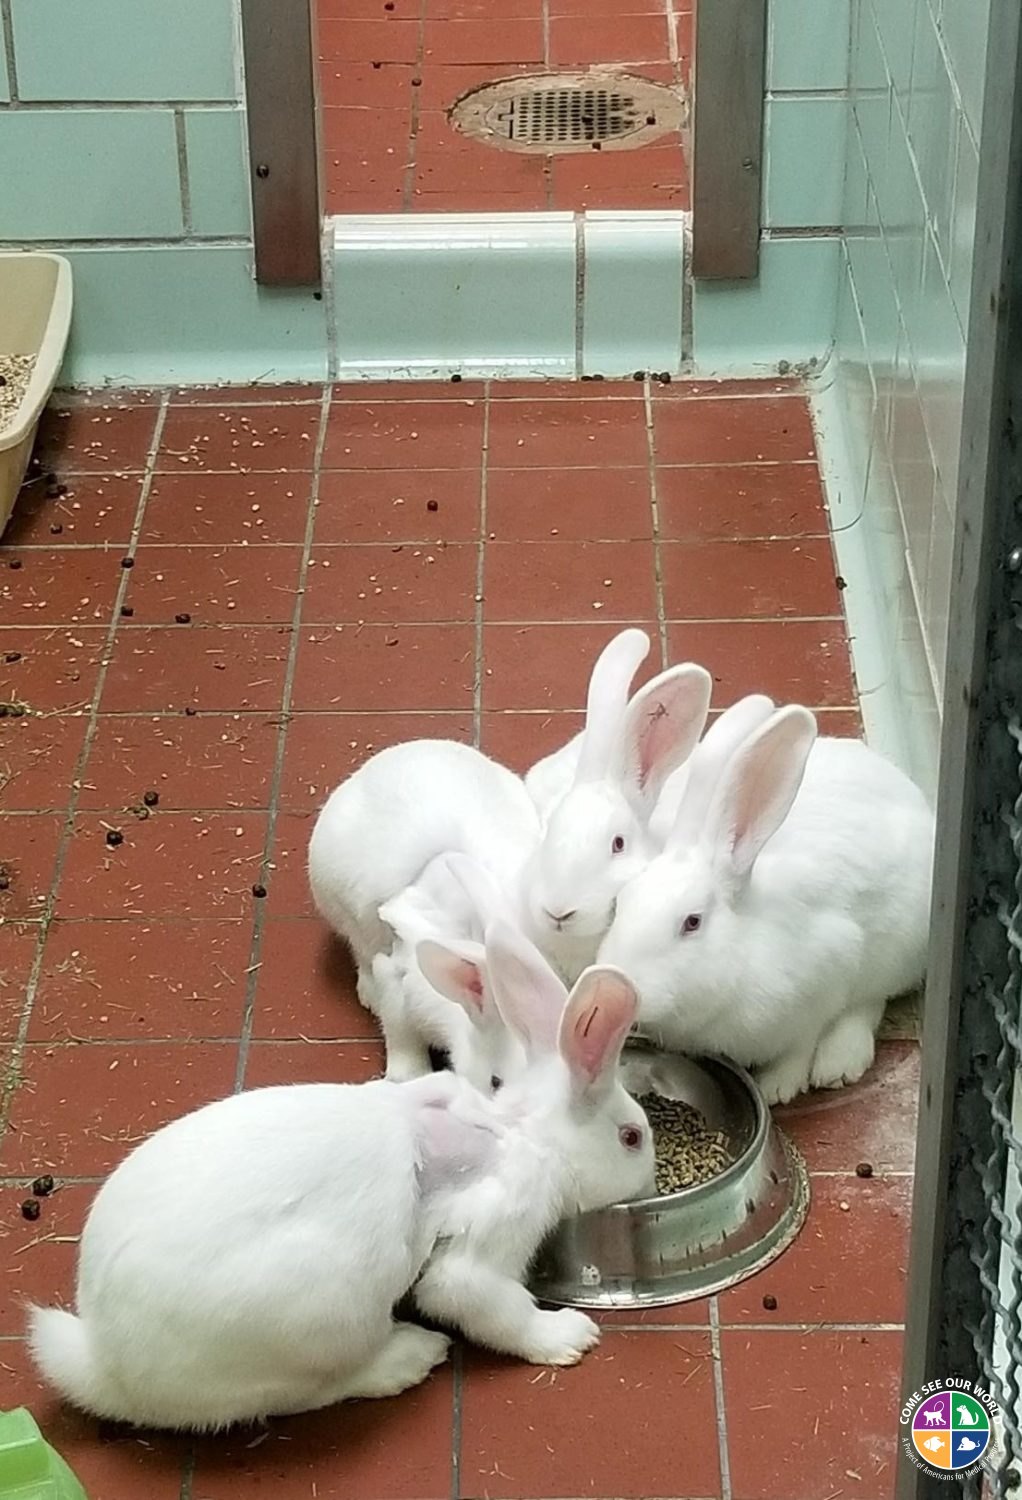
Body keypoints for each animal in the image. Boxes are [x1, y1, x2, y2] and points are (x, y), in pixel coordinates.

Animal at [28, 923, 653, 1431]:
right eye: (632, 1137)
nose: (648, 1178)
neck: (521, 1131)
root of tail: (107, 1363)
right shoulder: (494, 1232)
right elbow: (477, 1299)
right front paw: (569, 1337)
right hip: (323, 1319)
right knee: (310, 1393)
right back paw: (411, 1357)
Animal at [308, 739, 543, 1071]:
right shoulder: (397, 976)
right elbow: (401, 1034)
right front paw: (408, 1074)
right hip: (340, 904)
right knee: (360, 948)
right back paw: (368, 994)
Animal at [598, 704, 935, 1106]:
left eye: (692, 922)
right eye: (620, 903)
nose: (619, 987)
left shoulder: (828, 974)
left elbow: (803, 1041)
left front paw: (778, 1087)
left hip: (895, 948)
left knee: (869, 1002)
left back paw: (839, 1063)